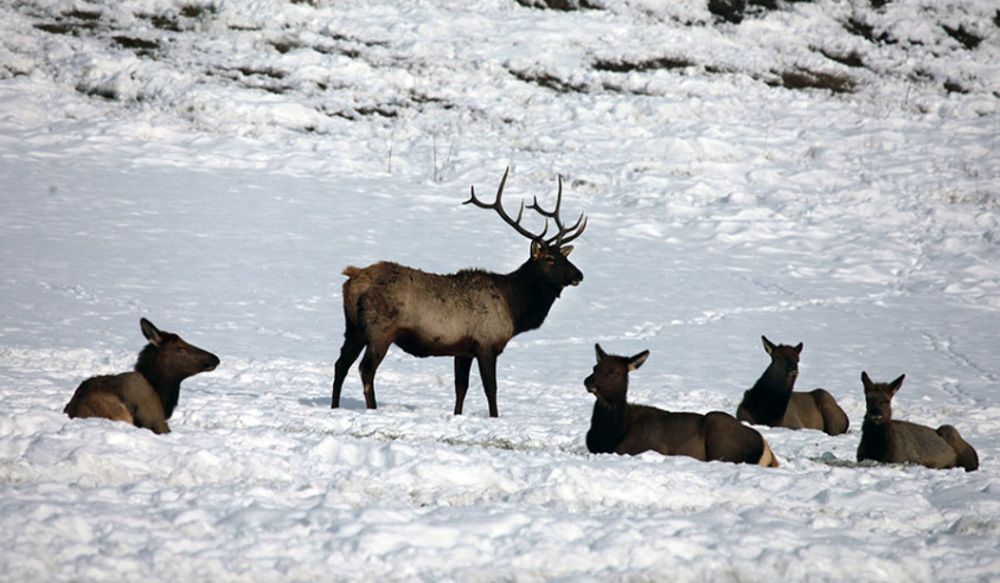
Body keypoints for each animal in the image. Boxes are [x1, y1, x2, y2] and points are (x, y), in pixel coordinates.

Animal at [331, 168, 587, 417]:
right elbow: (491, 389)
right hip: (380, 329)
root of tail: (353, 278)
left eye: (565, 256)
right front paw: (495, 418)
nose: (579, 275)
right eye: (550, 259)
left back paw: (334, 406)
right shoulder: (486, 343)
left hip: (354, 327)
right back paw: (372, 409)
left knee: (340, 364)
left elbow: (460, 388)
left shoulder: (463, 350)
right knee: (365, 369)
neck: (515, 309)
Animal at [584, 344, 779, 467]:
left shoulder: (654, 447)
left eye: (614, 371)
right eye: (595, 367)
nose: (588, 381)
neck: (609, 436)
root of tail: (767, 449)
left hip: (721, 436)